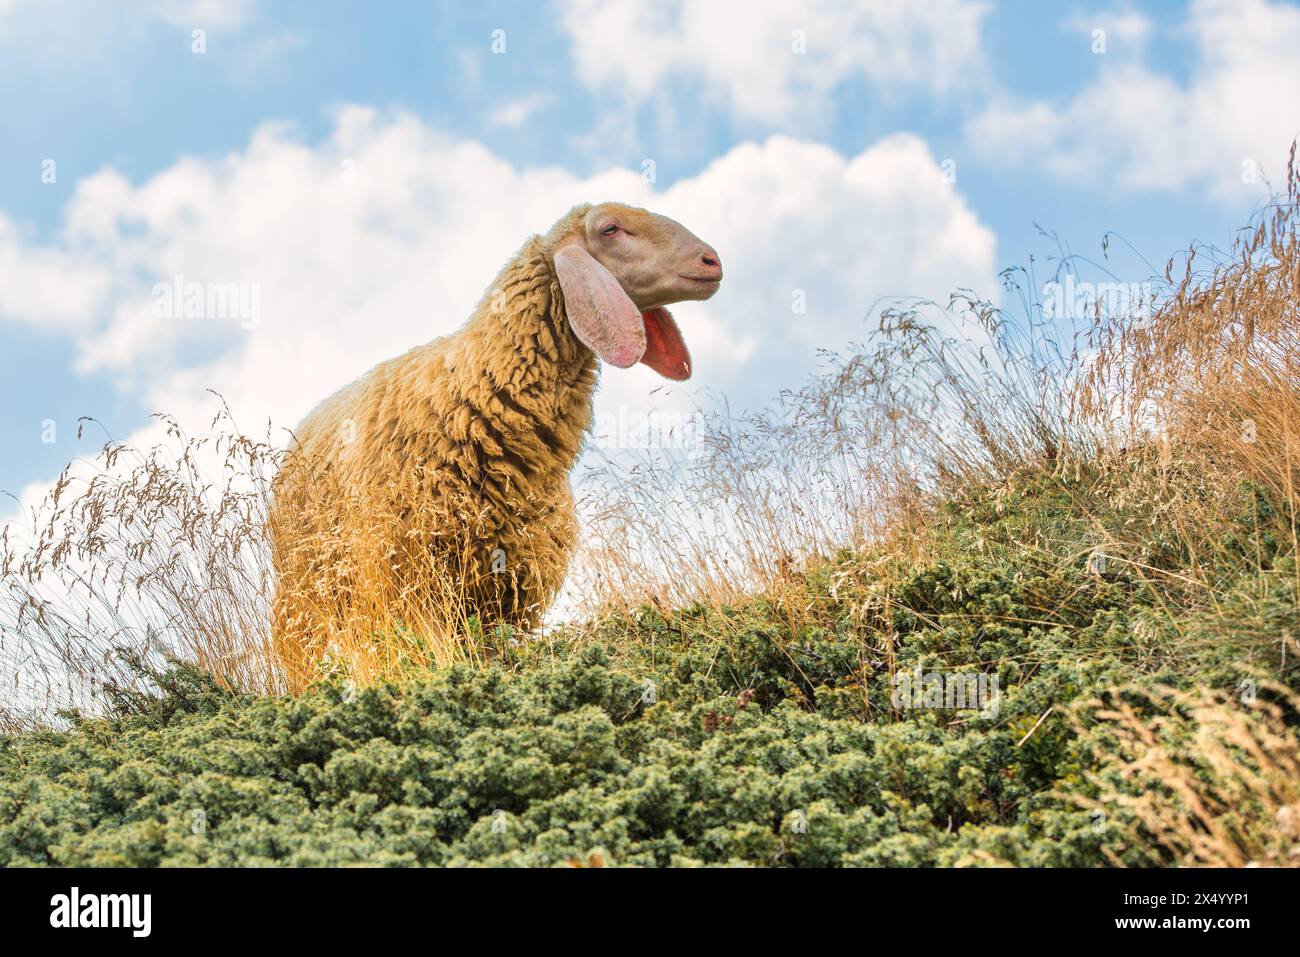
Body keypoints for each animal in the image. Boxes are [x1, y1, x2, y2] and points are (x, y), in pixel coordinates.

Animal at [269, 202, 723, 686]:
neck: (473, 392)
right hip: (307, 597)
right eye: (610, 229)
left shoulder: (506, 591)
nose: (712, 261)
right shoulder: (412, 585)